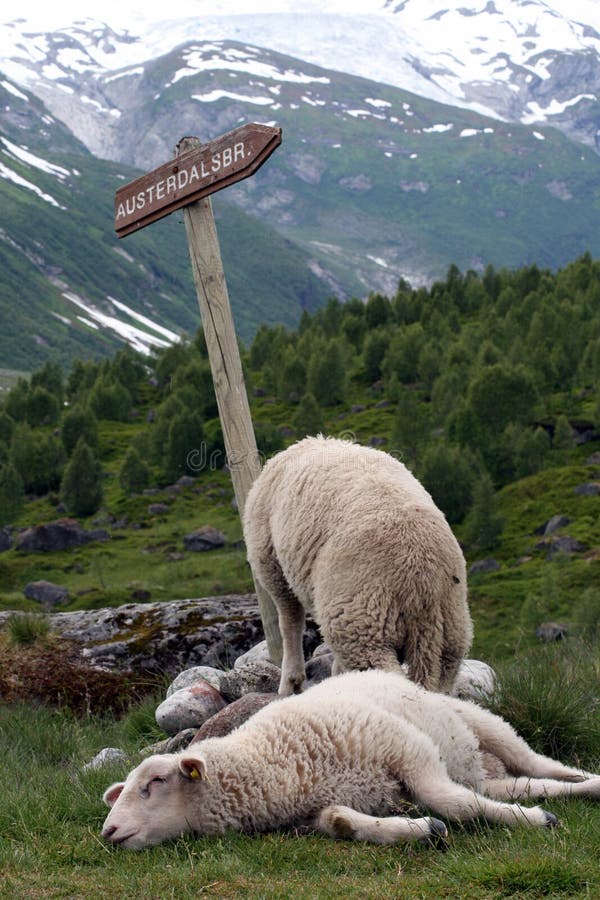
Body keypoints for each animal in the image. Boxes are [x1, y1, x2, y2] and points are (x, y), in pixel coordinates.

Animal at [101, 669, 600, 850]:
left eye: (154, 782)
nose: (107, 831)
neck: (273, 763)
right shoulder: (314, 812)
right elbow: (342, 821)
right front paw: (416, 828)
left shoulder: (405, 746)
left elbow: (451, 803)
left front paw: (533, 822)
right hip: (478, 771)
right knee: (522, 785)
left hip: (483, 723)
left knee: (539, 765)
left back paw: (587, 782)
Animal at [243, 435, 473, 695]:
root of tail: (422, 575)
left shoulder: (273, 567)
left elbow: (289, 623)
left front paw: (291, 683)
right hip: (447, 633)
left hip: (363, 622)